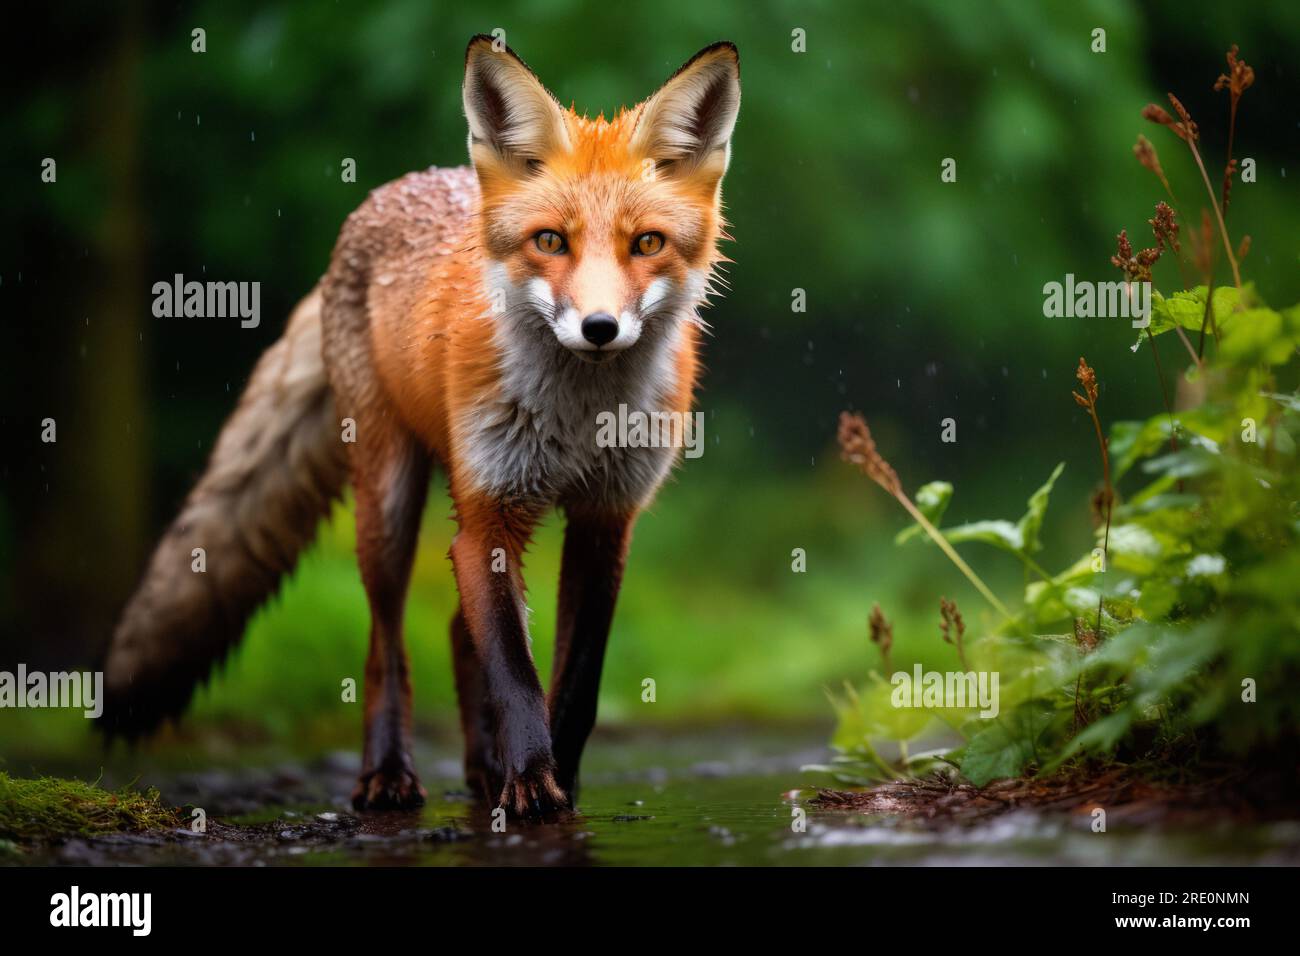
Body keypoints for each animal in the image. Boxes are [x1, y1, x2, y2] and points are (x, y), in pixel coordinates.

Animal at [100, 36, 741, 818]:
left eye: (647, 243)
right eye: (550, 241)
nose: (599, 328)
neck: (579, 418)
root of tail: (384, 197)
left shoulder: (606, 518)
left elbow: (573, 684)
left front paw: (553, 779)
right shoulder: (491, 510)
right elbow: (516, 676)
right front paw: (534, 783)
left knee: (457, 633)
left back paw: (482, 769)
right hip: (390, 499)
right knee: (388, 647)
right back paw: (389, 775)